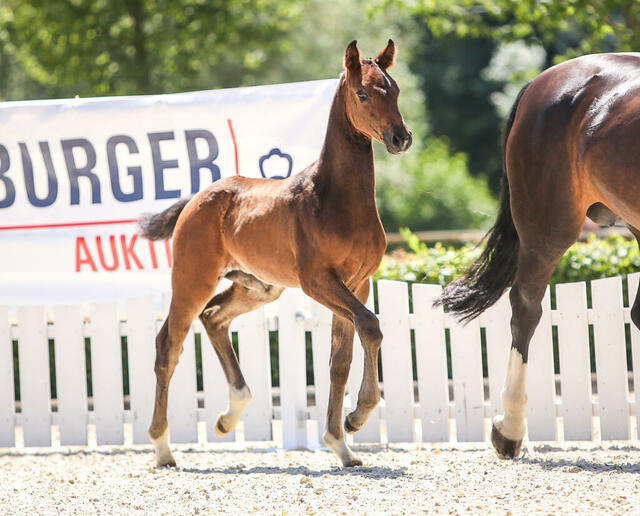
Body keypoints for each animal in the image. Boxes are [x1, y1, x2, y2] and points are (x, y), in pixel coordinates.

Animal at [138, 40, 412, 468]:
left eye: (395, 90)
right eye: (363, 93)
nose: (401, 137)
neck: (334, 198)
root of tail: (196, 199)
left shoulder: (358, 283)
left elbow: (340, 359)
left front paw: (341, 444)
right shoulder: (319, 282)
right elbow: (370, 326)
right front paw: (356, 418)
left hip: (258, 287)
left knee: (214, 317)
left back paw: (229, 416)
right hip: (192, 280)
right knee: (169, 343)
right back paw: (163, 448)